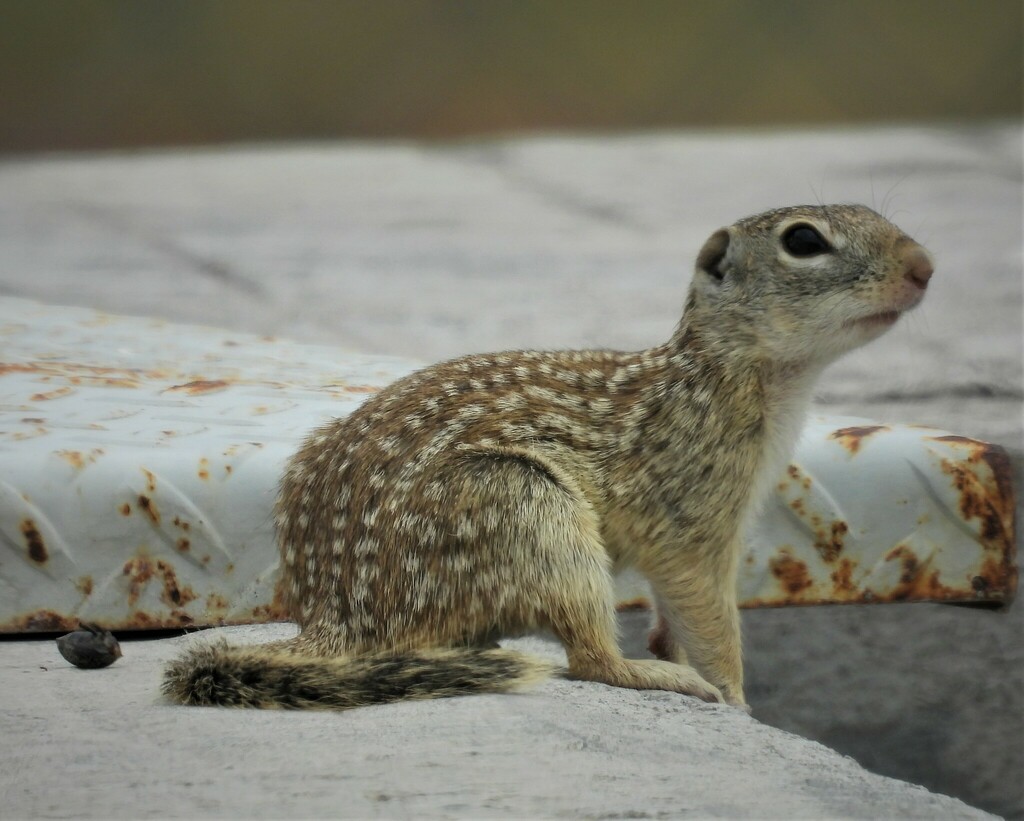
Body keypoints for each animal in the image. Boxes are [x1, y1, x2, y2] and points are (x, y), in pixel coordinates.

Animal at [163, 204, 933, 711]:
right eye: (804, 240)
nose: (925, 267)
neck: (727, 371)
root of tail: (334, 614)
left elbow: (676, 614)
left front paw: (672, 649)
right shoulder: (692, 521)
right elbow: (710, 617)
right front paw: (734, 697)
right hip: (529, 508)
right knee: (589, 660)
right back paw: (652, 676)